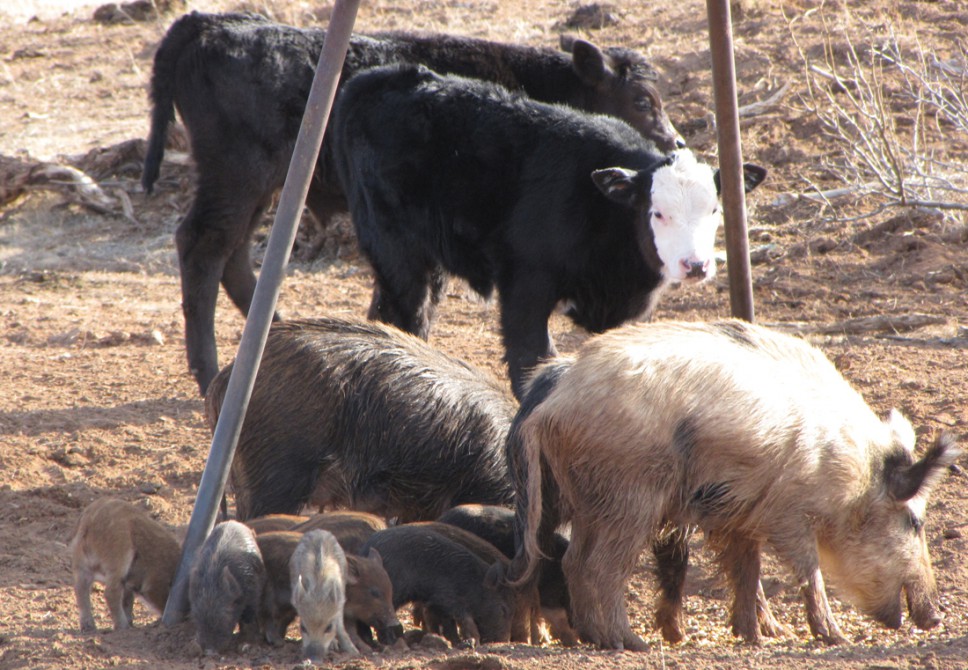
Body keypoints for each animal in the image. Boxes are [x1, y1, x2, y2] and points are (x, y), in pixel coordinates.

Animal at [70, 498, 181, 632]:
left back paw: (89, 626)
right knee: (110, 593)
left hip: (81, 566)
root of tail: (89, 522)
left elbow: (128, 599)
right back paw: (123, 627)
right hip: (120, 558)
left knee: (81, 590)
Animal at [189, 520, 266, 653]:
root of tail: (233, 522)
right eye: (196, 616)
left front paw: (246, 646)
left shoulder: (252, 591)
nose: (209, 652)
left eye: (224, 615)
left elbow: (249, 618)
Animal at [290, 529, 359, 660]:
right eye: (302, 627)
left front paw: (354, 652)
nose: (314, 658)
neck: (318, 588)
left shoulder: (340, 602)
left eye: (329, 627)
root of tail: (319, 531)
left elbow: (340, 627)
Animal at [361, 525, 517, 645]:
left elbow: (445, 623)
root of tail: (365, 549)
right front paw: (472, 642)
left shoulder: (434, 602)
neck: (470, 583)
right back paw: (391, 641)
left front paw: (452, 641)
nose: (504, 641)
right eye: (504, 610)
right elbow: (463, 619)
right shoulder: (448, 598)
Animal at [510, 319, 959, 649]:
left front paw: (755, 637)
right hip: (631, 493)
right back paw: (628, 643)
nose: (936, 617)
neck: (849, 471)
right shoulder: (787, 513)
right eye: (914, 522)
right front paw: (835, 638)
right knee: (601, 566)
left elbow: (747, 571)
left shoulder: (739, 514)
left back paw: (595, 638)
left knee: (572, 560)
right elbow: (808, 570)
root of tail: (554, 405)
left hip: (585, 495)